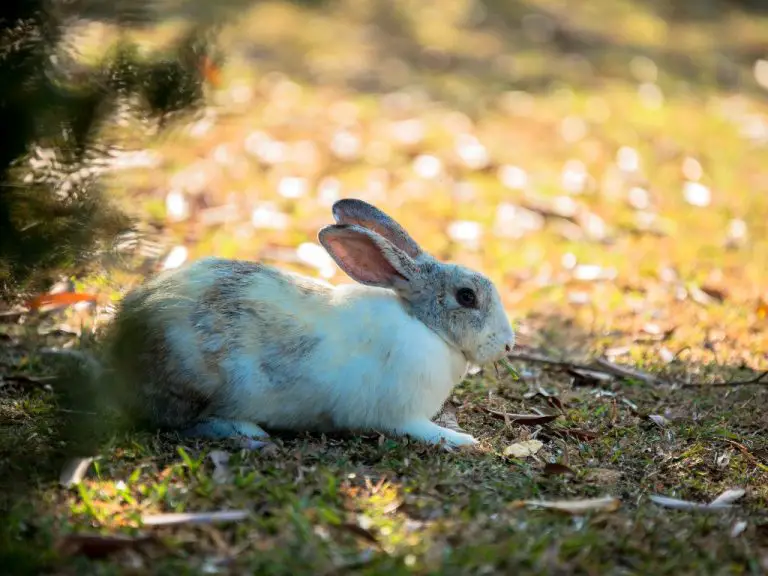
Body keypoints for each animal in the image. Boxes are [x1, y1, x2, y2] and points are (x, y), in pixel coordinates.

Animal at [101, 198, 515, 447]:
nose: (509, 343)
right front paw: (465, 440)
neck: (425, 325)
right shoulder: (402, 416)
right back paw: (248, 432)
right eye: (467, 297)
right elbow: (425, 430)